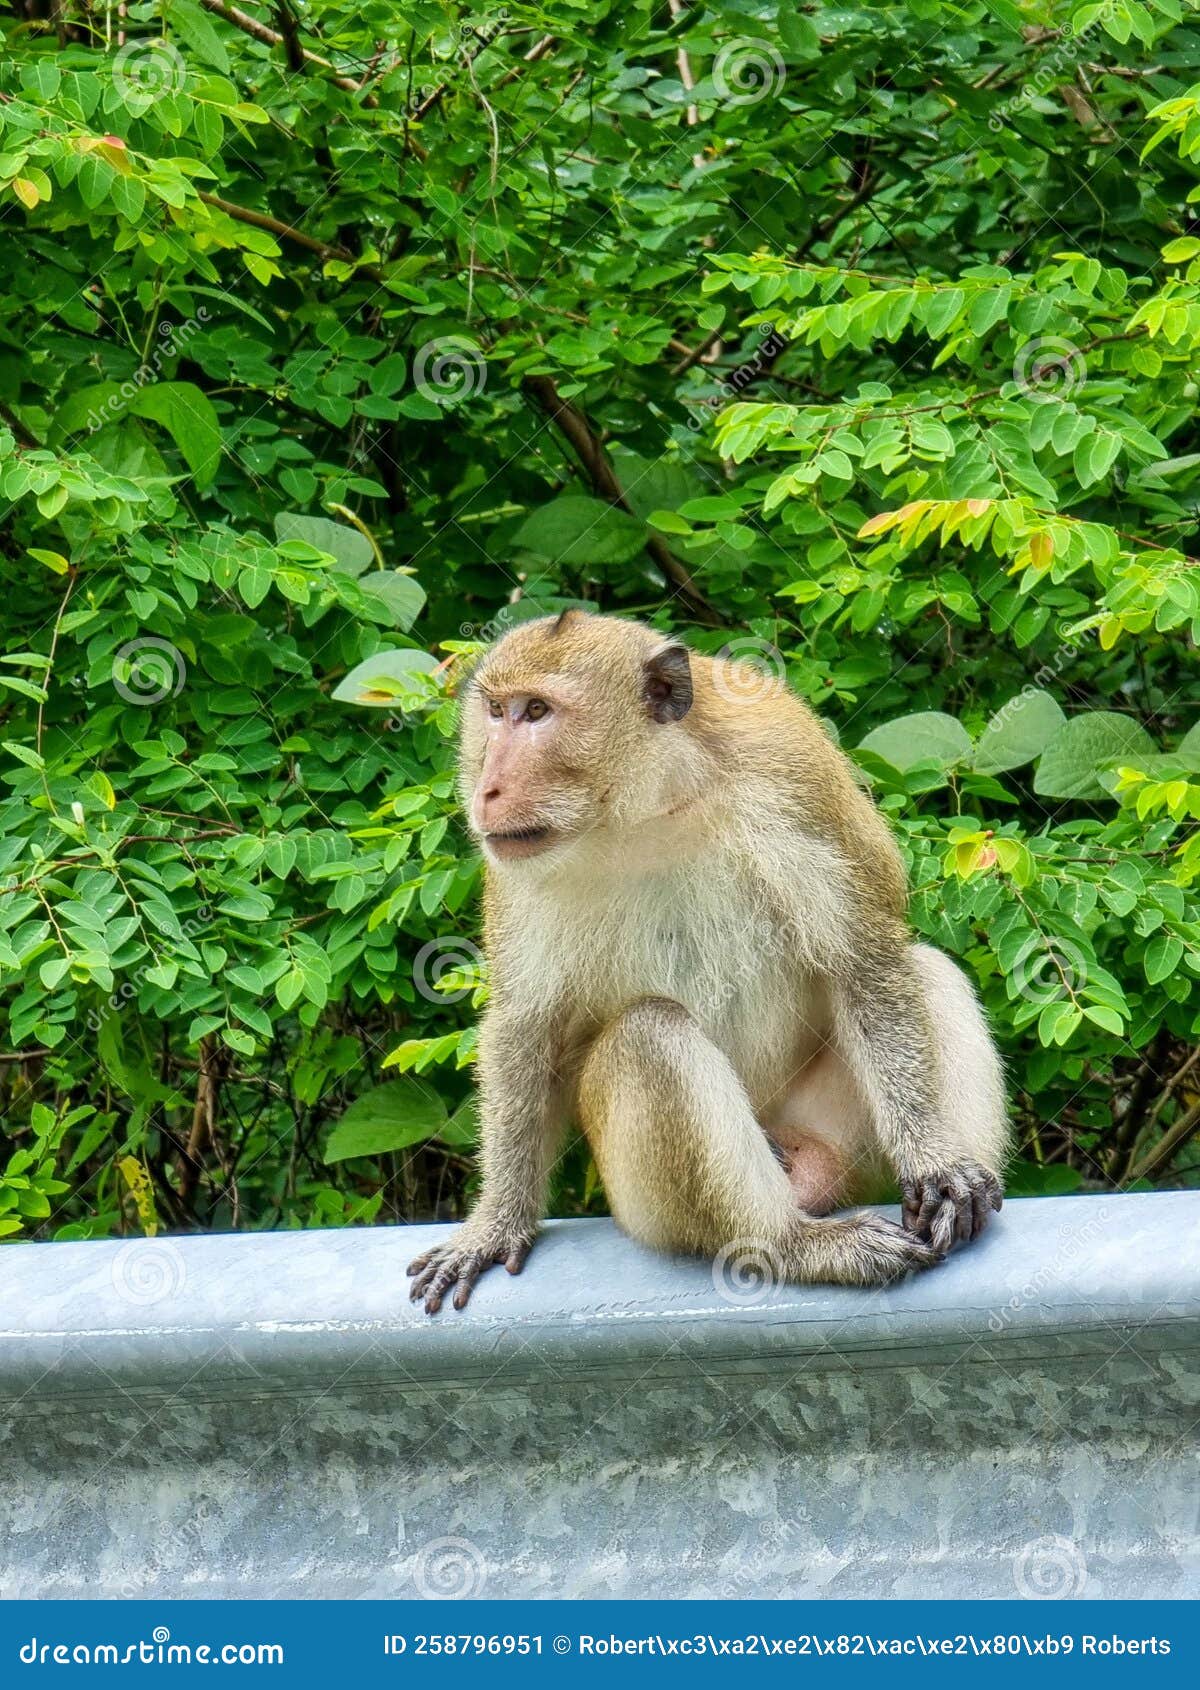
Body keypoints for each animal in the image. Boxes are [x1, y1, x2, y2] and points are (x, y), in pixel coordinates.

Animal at [408, 611, 1007, 1314]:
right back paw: (791, 1245)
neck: (651, 801)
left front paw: (936, 1162)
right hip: (646, 1205)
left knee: (928, 972)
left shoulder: (790, 767)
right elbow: (528, 1024)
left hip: (839, 1139)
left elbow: (862, 955)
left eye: (537, 712)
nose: (488, 788)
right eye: (496, 711)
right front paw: (495, 1224)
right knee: (650, 1032)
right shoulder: (515, 869)